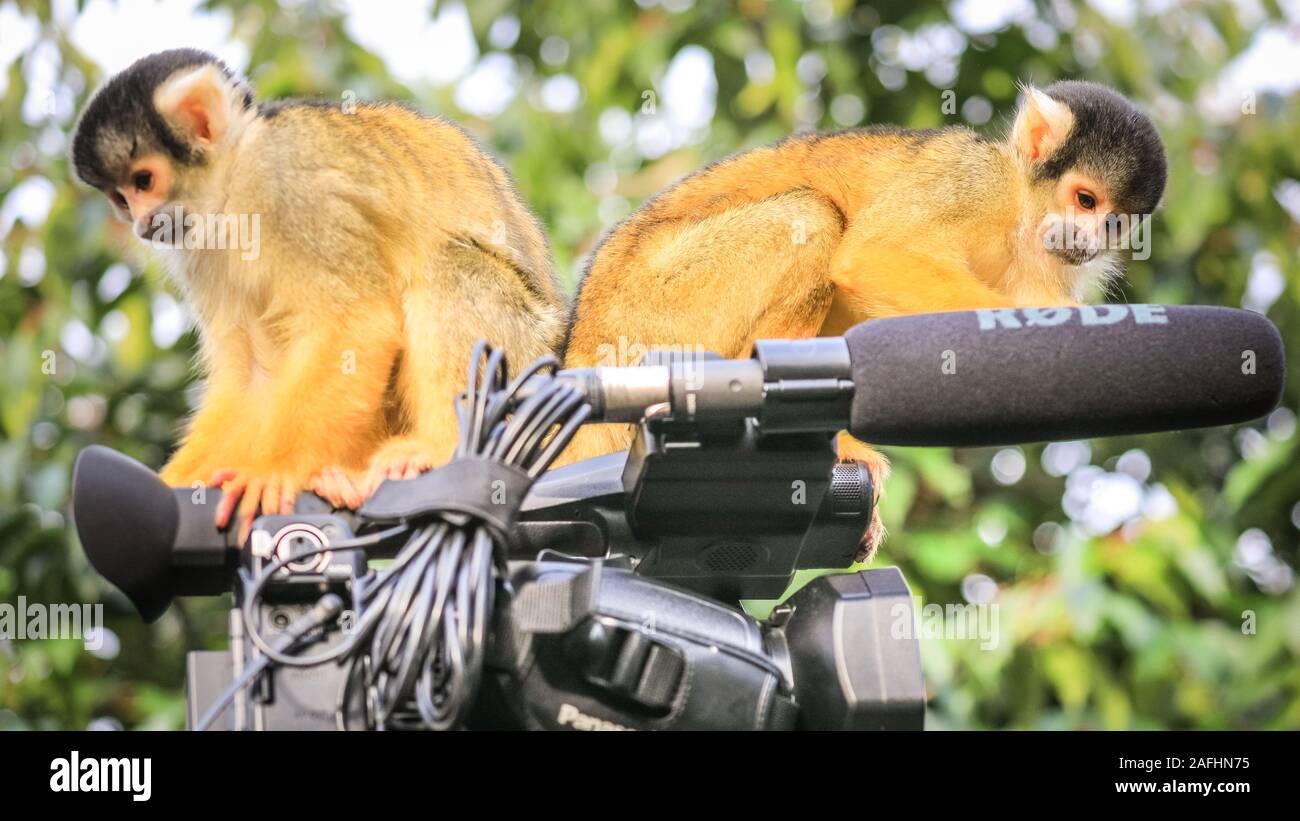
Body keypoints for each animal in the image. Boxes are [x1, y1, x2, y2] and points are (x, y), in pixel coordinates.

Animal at [72, 49, 567, 543]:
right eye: (121, 198)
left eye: (143, 180)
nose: (141, 225)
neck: (234, 183)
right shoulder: (199, 248)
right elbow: (252, 375)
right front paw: (171, 487)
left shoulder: (289, 188)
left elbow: (356, 322)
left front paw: (274, 472)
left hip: (524, 355)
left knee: (450, 265)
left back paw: (439, 449)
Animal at [559, 81, 1167, 558]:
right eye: (1085, 200)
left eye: (1114, 222)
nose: (1087, 241)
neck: (1020, 212)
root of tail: (583, 341)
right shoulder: (974, 179)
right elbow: (871, 256)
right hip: (649, 312)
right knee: (809, 217)